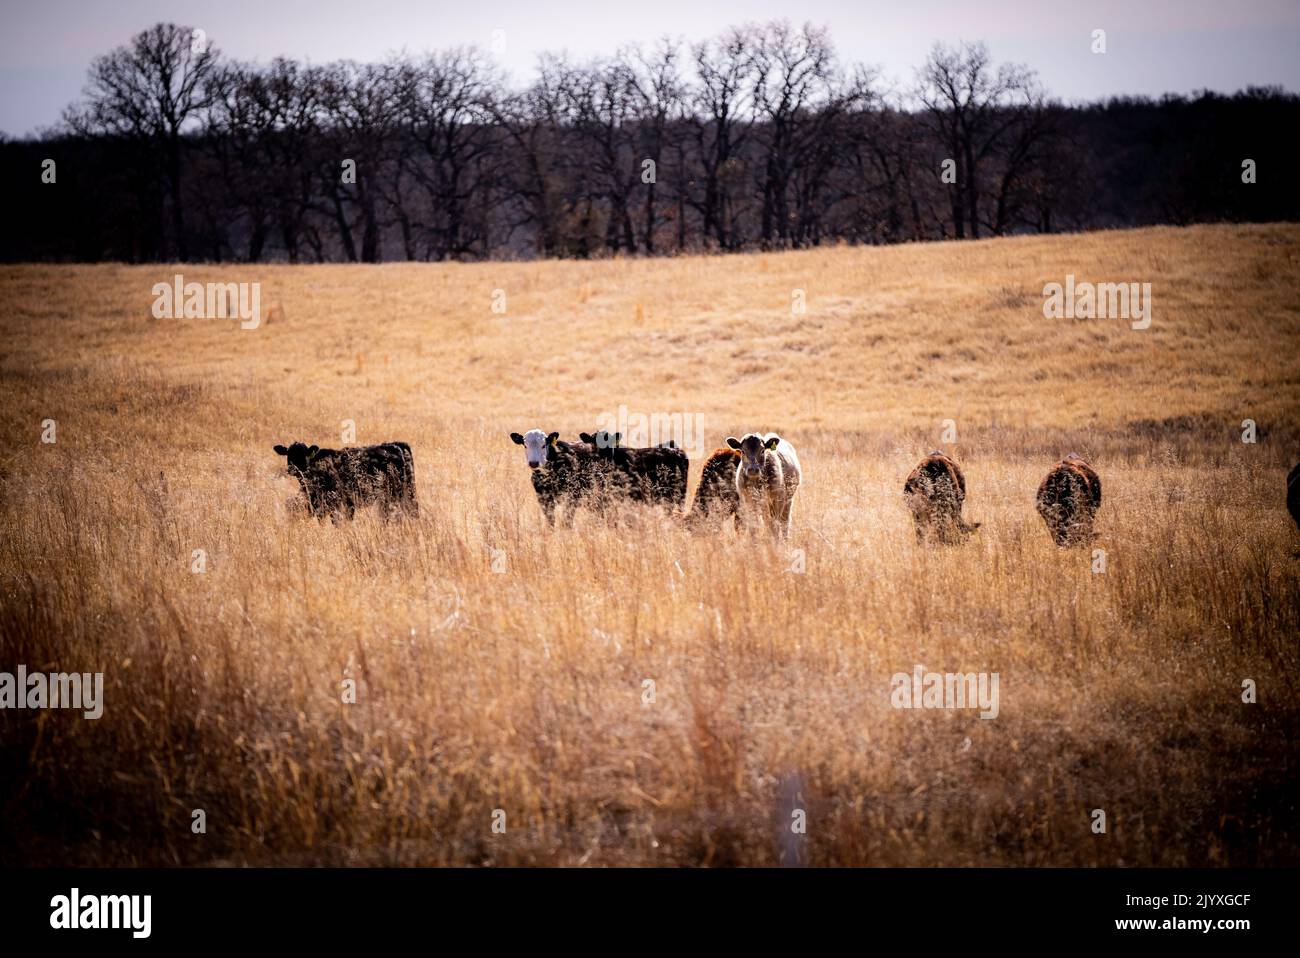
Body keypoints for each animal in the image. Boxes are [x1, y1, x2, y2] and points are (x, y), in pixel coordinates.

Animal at [273, 440, 418, 521]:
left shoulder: (333, 504)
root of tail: (394, 445)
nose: (294, 468)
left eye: (304, 454)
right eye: (289, 454)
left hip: (398, 493)